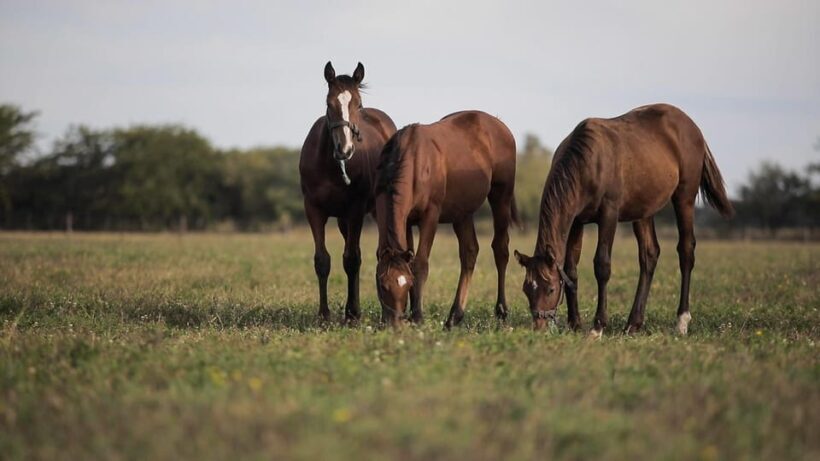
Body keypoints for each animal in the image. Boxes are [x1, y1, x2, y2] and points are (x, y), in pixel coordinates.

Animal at [299, 62, 397, 322]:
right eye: (329, 103)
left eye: (358, 104)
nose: (345, 149)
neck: (331, 165)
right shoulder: (313, 209)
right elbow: (322, 260)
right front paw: (324, 315)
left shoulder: (356, 210)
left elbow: (352, 260)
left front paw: (352, 314)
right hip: (343, 219)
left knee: (376, 254)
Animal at [374, 111, 519, 328]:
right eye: (382, 285)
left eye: (406, 284)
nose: (395, 323)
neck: (413, 161)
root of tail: (499, 125)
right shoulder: (407, 221)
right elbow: (411, 259)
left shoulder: (430, 215)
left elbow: (420, 263)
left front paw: (417, 316)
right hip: (462, 213)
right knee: (469, 252)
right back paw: (454, 316)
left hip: (501, 197)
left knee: (500, 249)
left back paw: (501, 311)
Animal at [514, 104, 734, 336]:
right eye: (526, 289)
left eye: (551, 289)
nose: (539, 327)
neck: (588, 162)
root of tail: (692, 126)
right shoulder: (576, 221)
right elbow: (571, 269)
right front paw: (574, 324)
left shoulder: (609, 215)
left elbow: (602, 266)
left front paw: (597, 326)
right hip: (644, 211)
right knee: (649, 255)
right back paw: (633, 323)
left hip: (685, 198)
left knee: (686, 250)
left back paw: (681, 321)